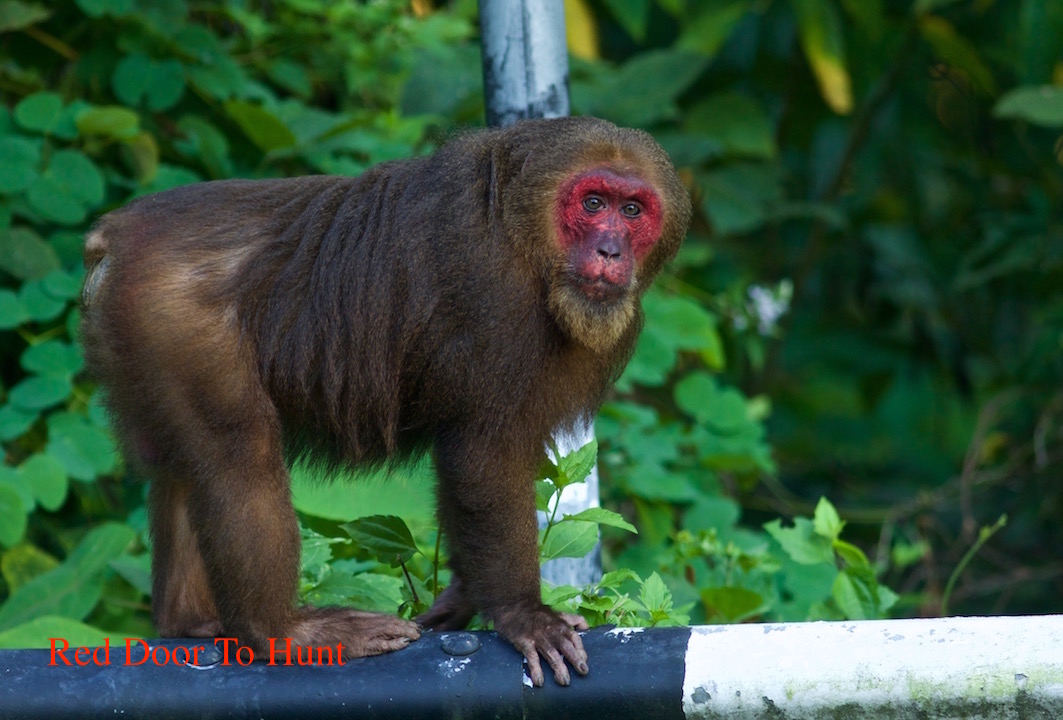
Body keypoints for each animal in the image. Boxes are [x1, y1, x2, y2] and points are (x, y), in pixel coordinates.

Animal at [80, 116, 690, 687]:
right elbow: (484, 458)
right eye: (593, 203)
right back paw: (277, 632)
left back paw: (188, 622)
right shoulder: (494, 293)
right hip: (173, 313)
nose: (610, 250)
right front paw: (521, 612)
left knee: (176, 462)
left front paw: (463, 597)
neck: (526, 233)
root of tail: (116, 235)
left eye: (632, 211)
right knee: (238, 453)